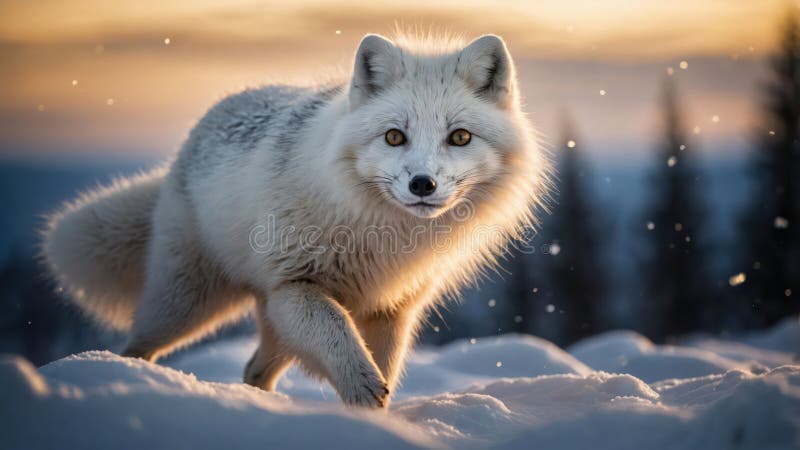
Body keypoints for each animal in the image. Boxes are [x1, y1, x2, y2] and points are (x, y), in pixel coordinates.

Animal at [42, 33, 550, 408]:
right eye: (394, 136)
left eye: (459, 137)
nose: (421, 184)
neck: (385, 237)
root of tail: (188, 142)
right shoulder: (295, 286)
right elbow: (342, 341)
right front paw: (363, 392)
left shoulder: (392, 310)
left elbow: (383, 365)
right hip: (188, 304)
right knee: (137, 345)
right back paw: (123, 376)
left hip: (268, 322)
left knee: (253, 369)